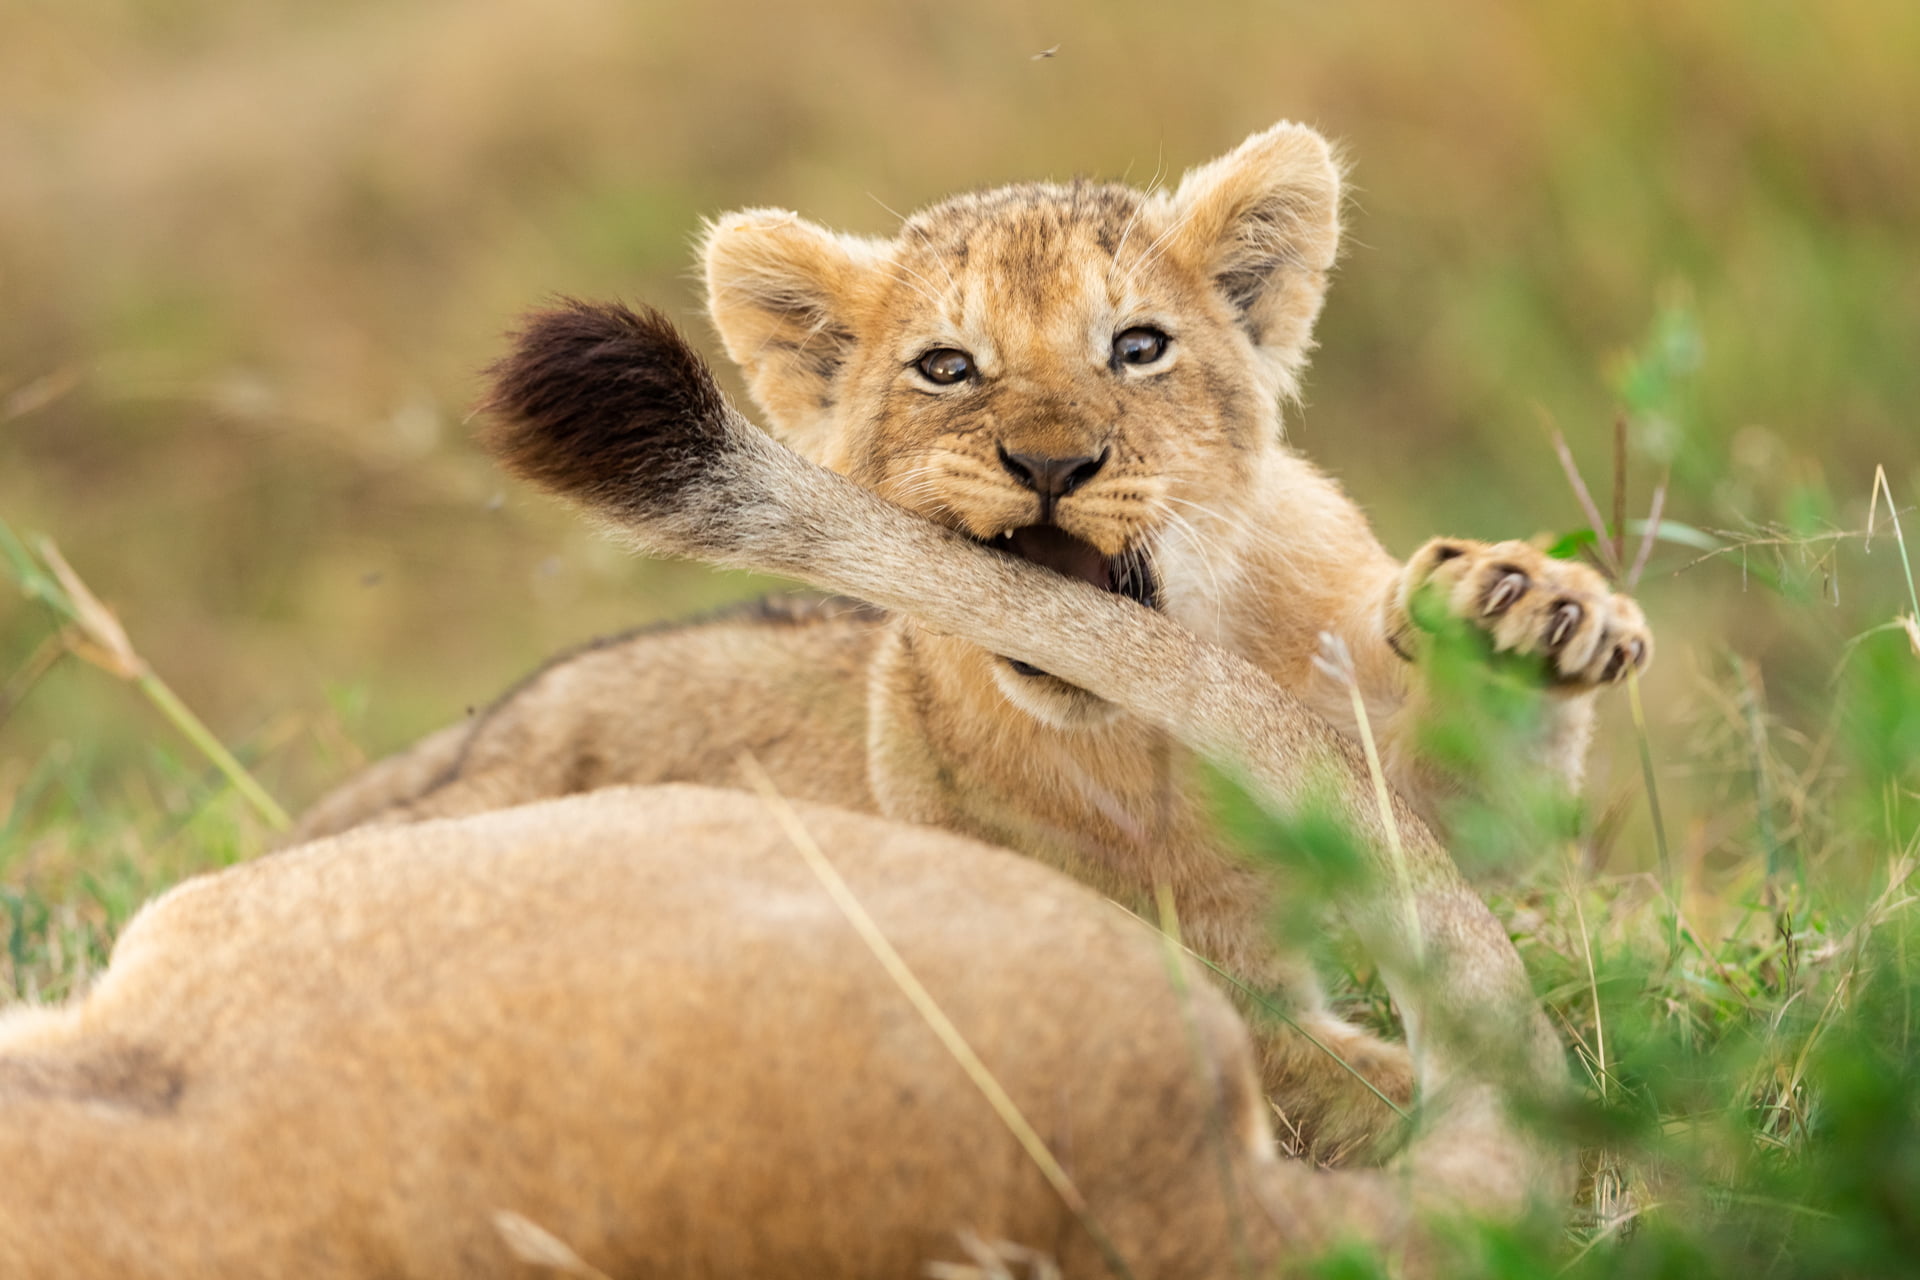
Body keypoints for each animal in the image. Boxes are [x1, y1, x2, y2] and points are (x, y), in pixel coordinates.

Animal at [293, 121, 1648, 1157]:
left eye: (1139, 346)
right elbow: (1304, 1057)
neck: (1143, 744)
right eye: (947, 366)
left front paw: (1529, 620)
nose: (1050, 463)